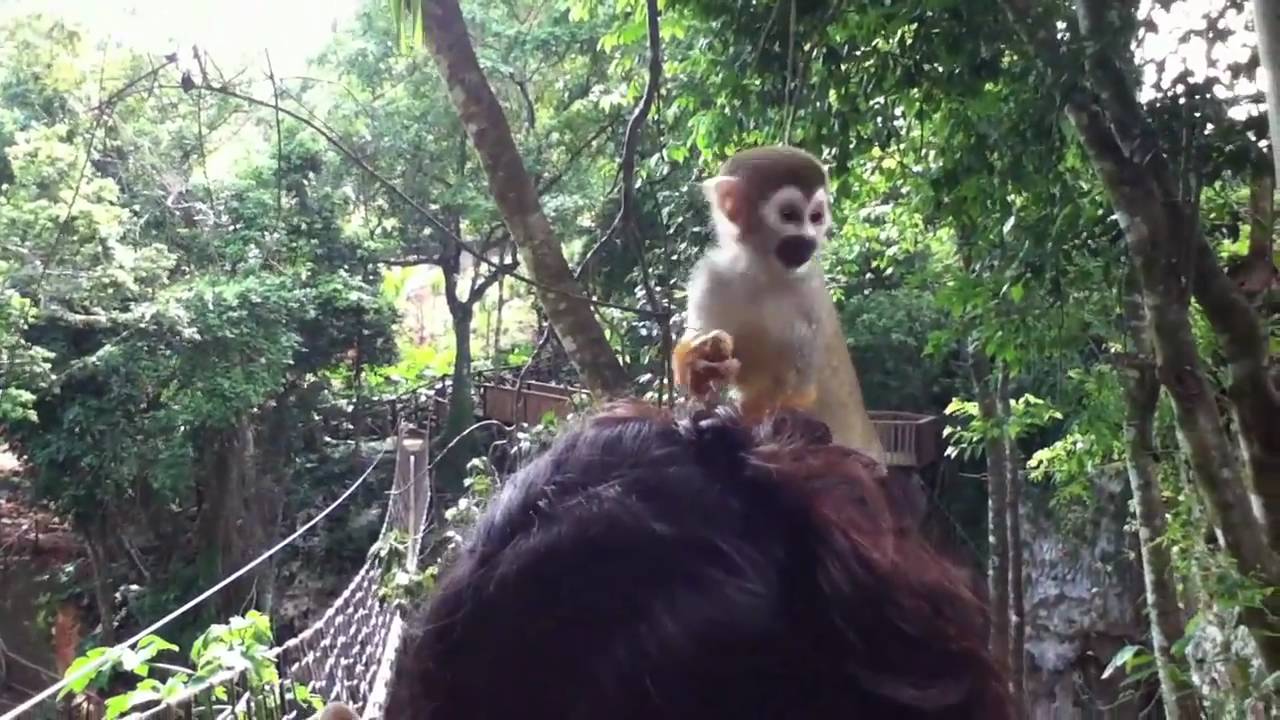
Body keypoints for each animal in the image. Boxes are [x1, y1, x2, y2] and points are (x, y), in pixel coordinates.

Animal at [673, 145, 887, 466]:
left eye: (815, 217)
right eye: (789, 215)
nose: (809, 239)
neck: (762, 272)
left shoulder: (810, 290)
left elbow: (800, 393)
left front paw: (735, 424)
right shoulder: (709, 278)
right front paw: (697, 365)